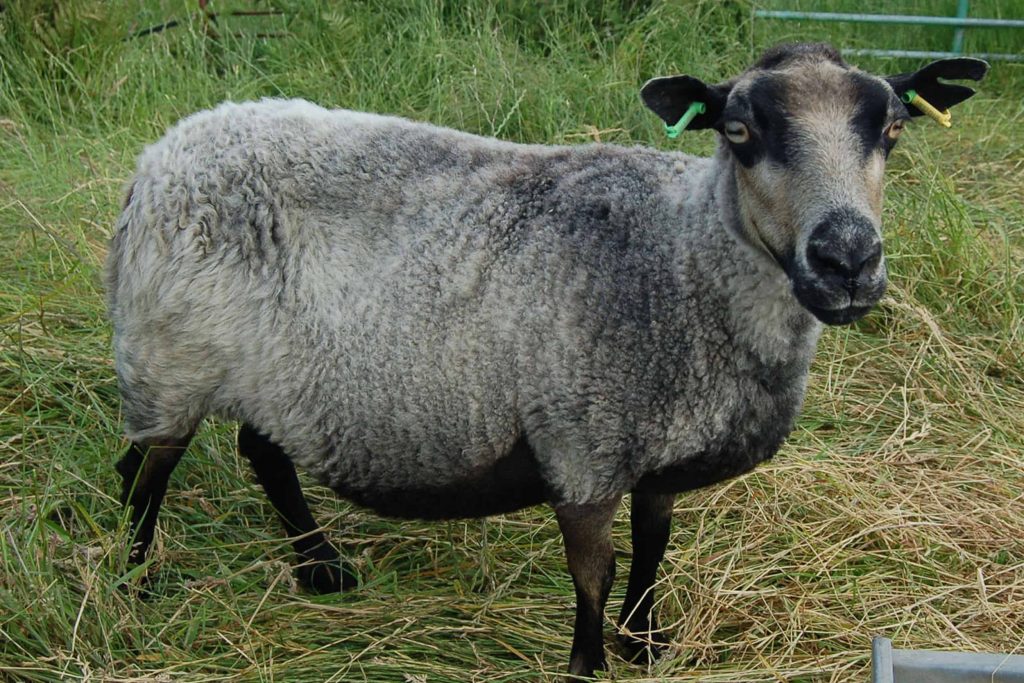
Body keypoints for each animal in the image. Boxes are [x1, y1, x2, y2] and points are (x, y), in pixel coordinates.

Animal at [107, 43, 987, 678]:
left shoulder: (655, 453)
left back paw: (321, 566)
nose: (847, 259)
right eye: (739, 132)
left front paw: (646, 642)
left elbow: (654, 548)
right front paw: (588, 664)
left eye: (893, 128)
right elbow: (593, 573)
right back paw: (138, 580)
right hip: (171, 359)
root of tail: (161, 151)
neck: (680, 261)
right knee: (151, 472)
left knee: (260, 450)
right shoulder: (582, 449)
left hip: (274, 372)